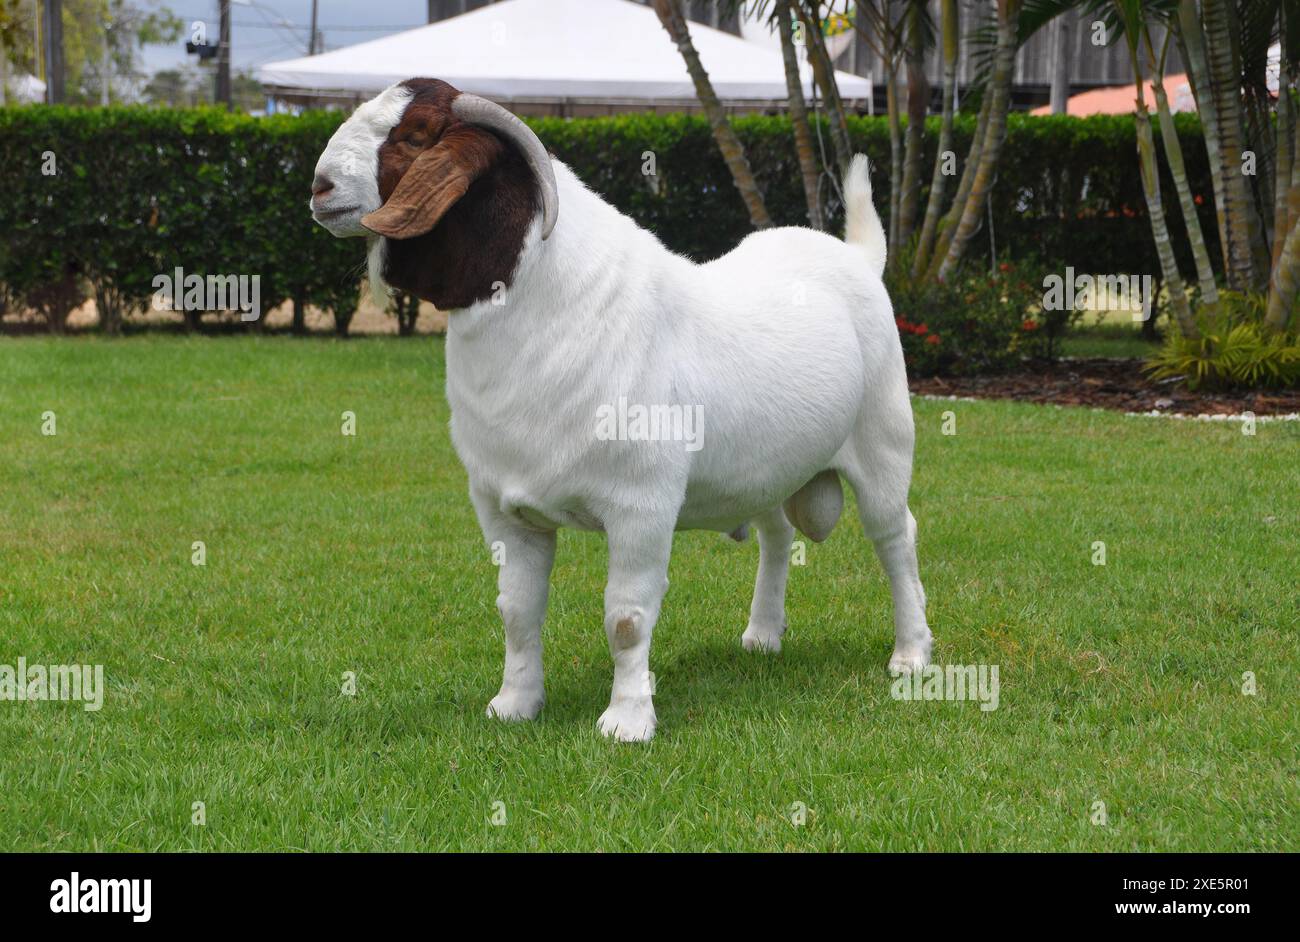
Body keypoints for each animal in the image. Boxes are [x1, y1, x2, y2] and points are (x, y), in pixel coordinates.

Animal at [311, 78, 931, 741]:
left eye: (415, 135)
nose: (320, 187)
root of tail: (860, 259)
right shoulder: (504, 511)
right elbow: (517, 610)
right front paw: (514, 705)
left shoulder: (642, 507)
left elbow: (627, 617)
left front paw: (626, 722)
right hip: (768, 468)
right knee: (776, 532)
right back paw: (763, 636)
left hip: (884, 442)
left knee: (896, 537)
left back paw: (911, 654)